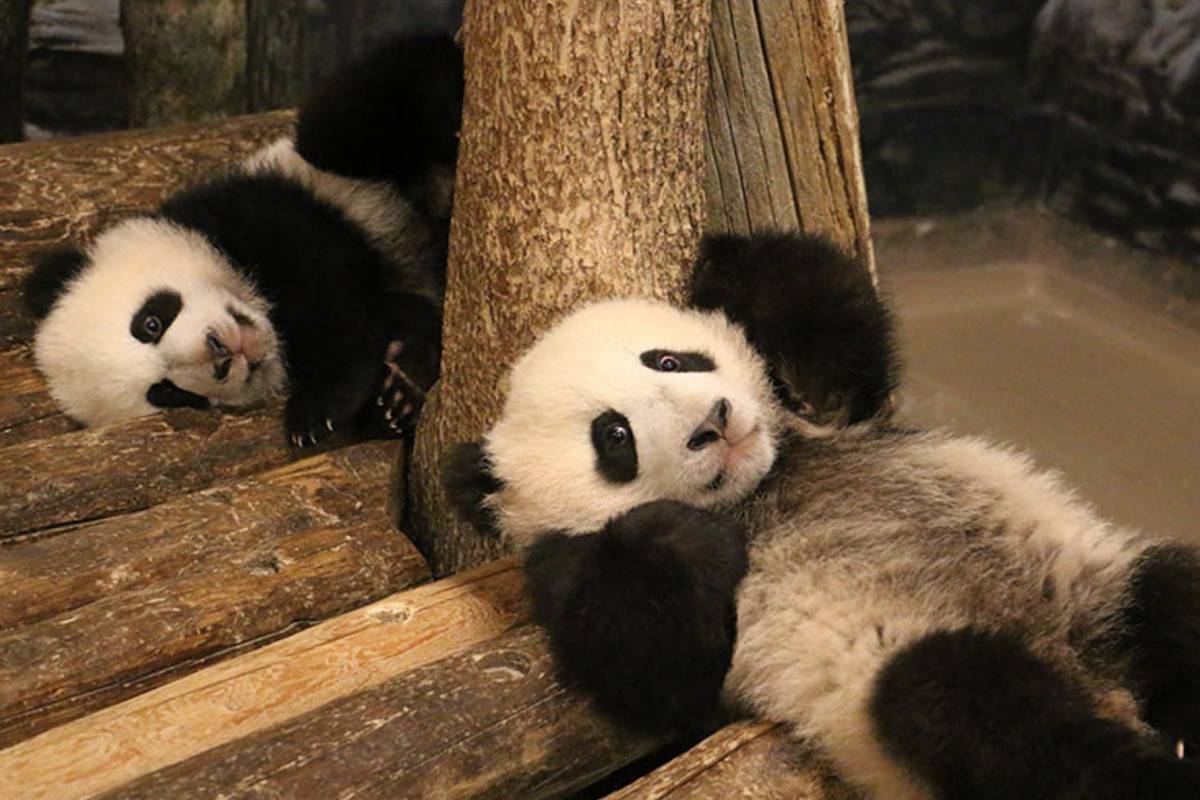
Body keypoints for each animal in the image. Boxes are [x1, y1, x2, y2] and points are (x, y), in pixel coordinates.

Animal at [22, 34, 462, 446]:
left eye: (149, 323)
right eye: (167, 393)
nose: (220, 352)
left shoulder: (252, 207)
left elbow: (326, 288)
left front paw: (318, 406)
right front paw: (394, 396)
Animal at [443, 232, 1200, 799]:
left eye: (669, 359)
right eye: (615, 437)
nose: (714, 423)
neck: (765, 483)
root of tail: (1100, 679)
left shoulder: (833, 420)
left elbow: (836, 350)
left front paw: (727, 263)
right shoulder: (566, 571)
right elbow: (661, 668)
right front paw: (681, 536)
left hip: (1088, 578)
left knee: (1171, 595)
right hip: (913, 675)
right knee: (975, 707)